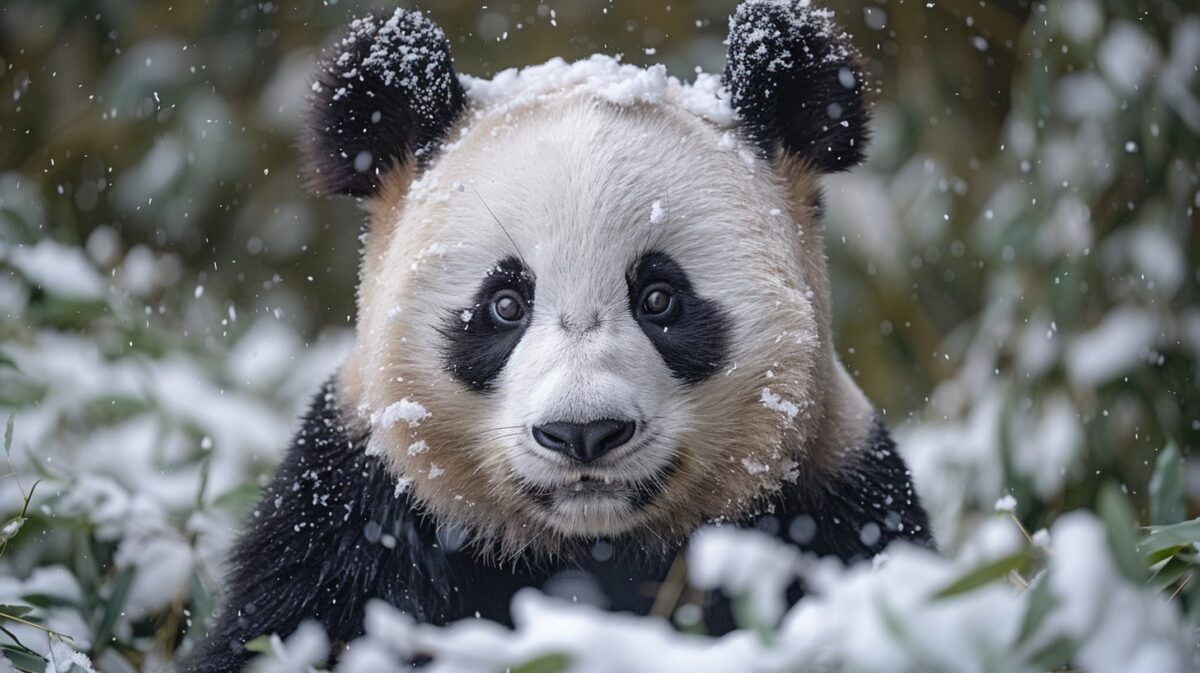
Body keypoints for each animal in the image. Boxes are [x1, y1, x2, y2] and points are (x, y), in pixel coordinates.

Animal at [189, 1, 933, 671]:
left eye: (660, 298)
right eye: (505, 304)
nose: (583, 433)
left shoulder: (835, 505)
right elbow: (286, 626)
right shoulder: (350, 518)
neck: (588, 545)